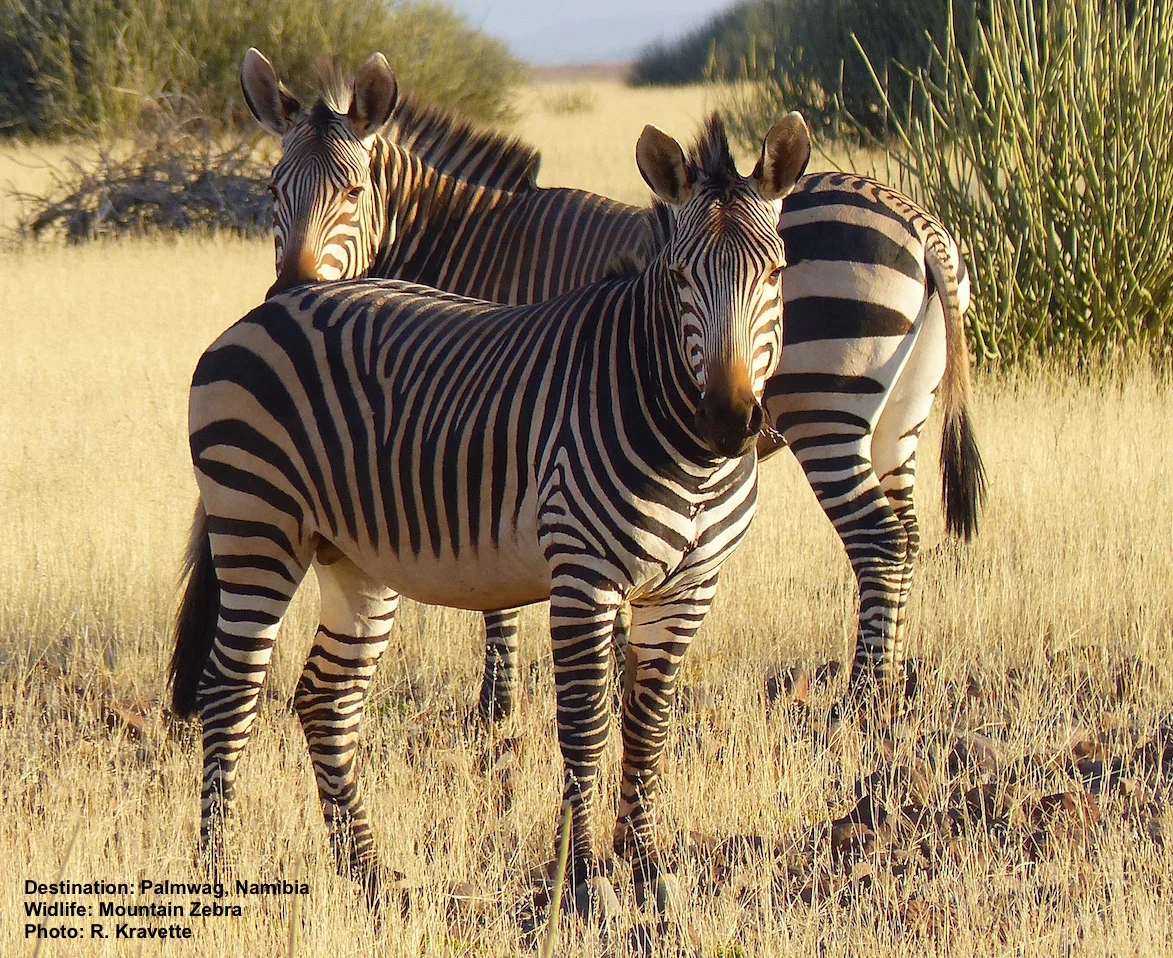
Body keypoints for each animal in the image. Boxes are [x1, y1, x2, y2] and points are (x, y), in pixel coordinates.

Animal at [170, 112, 812, 914]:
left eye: (776, 274)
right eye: (678, 278)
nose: (728, 421)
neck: (684, 445)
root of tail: (269, 308)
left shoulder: (690, 587)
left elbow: (649, 726)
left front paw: (648, 870)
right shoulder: (584, 577)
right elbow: (586, 727)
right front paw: (585, 883)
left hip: (353, 555)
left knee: (325, 698)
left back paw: (368, 873)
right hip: (257, 526)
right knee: (229, 690)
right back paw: (216, 869)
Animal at [241, 48, 986, 719]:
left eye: (352, 192)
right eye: (273, 191)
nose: (293, 291)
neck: (461, 239)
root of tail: (917, 221)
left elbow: (501, 598)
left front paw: (496, 707)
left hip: (826, 411)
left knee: (877, 541)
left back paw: (862, 697)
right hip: (898, 418)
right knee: (908, 536)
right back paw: (895, 682)